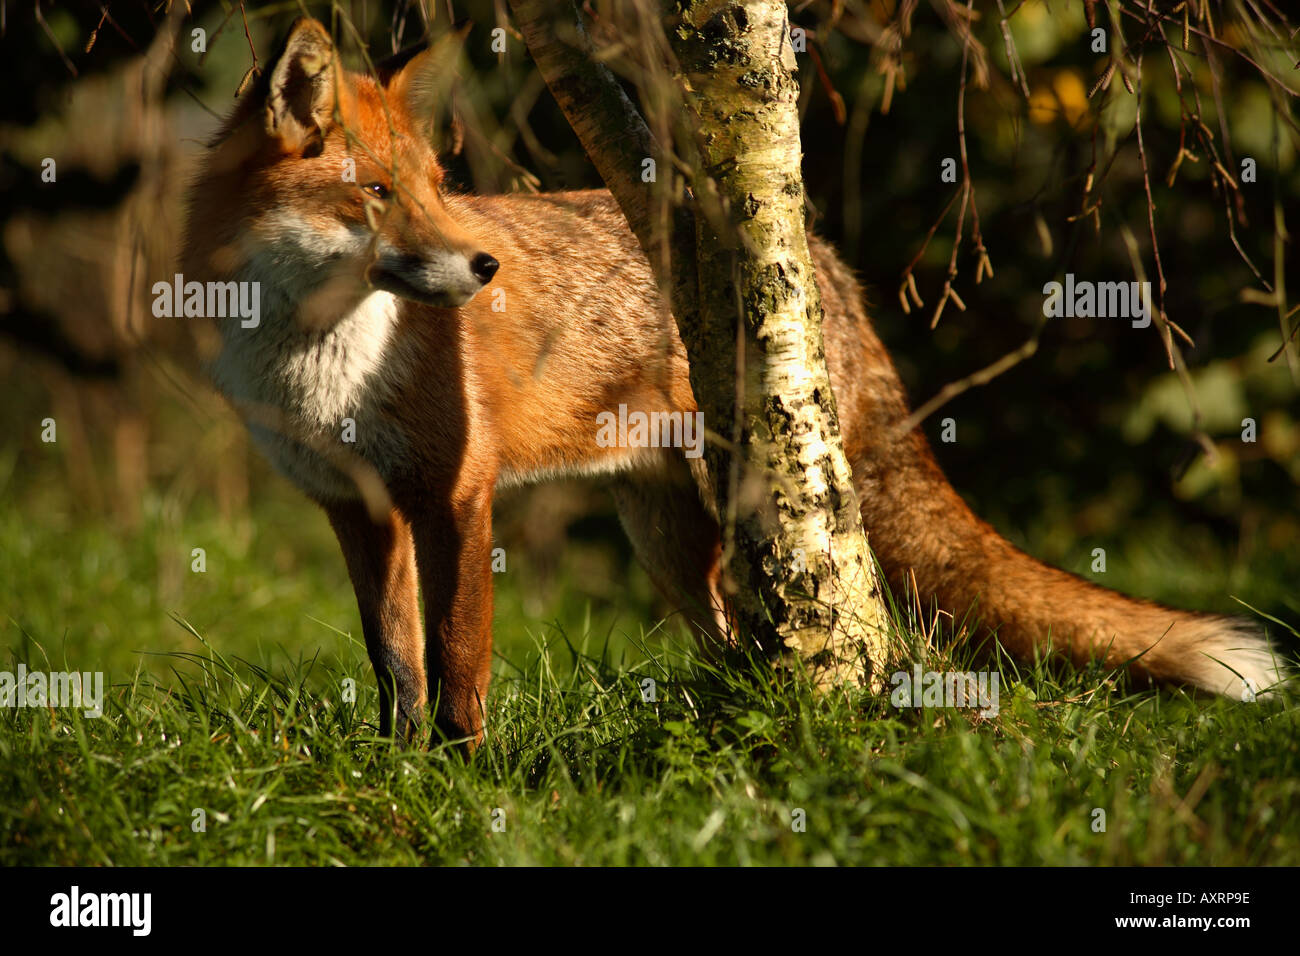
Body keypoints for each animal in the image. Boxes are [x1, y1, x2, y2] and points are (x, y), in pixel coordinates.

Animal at [182, 18, 1284, 746]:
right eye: (374, 193)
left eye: (438, 187)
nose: (485, 268)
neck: (322, 369)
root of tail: (824, 260)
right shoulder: (356, 506)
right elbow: (395, 660)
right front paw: (398, 763)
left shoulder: (456, 492)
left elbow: (459, 656)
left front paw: (464, 772)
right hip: (667, 538)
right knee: (727, 646)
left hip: (746, 503)